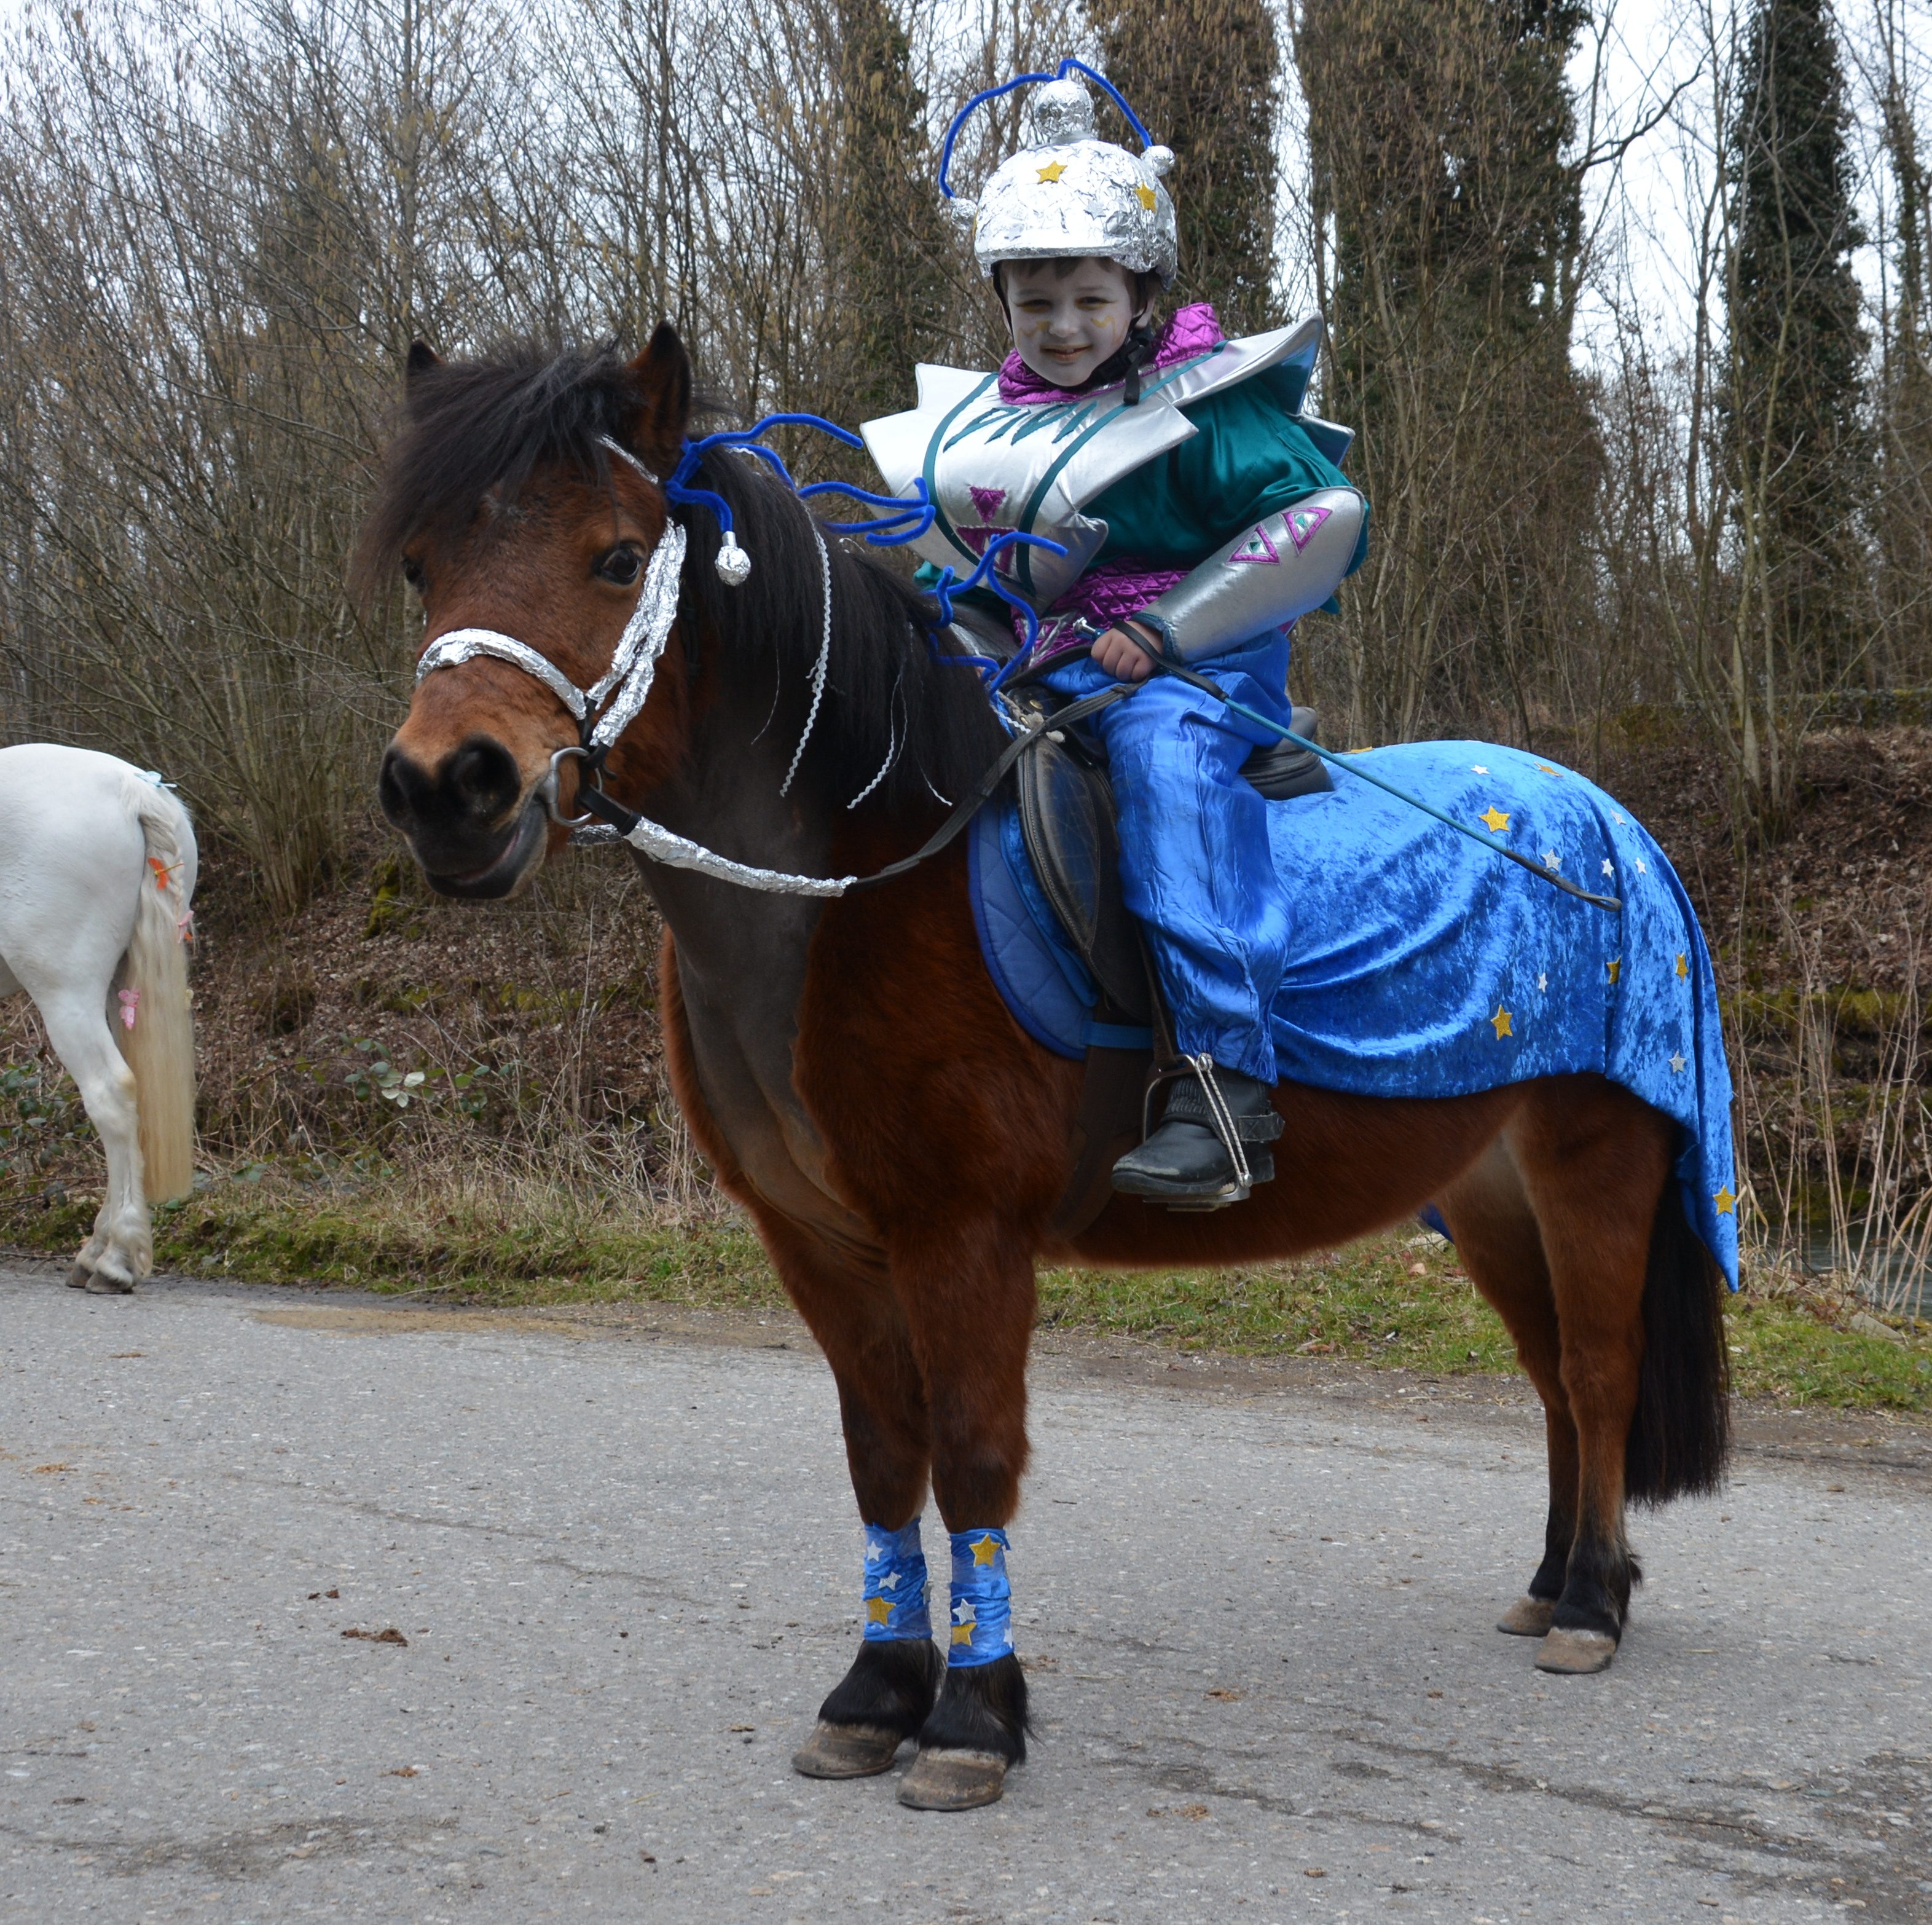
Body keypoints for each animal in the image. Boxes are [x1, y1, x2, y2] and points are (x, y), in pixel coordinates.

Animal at [0, 743, 198, 1292]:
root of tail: (133, 786)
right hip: (117, 990)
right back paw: (97, 1251)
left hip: (66, 994)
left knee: (111, 1093)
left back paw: (117, 1258)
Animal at [366, 329, 1732, 1813]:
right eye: (422, 565)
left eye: (618, 557)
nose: (448, 788)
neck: (861, 873)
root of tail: (1609, 823)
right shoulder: (818, 1240)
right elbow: (881, 1460)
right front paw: (875, 1691)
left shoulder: (961, 1233)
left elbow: (971, 1461)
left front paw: (973, 1716)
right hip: (1484, 1188)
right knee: (1547, 1378)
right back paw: (1554, 1582)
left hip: (1594, 1160)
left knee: (1596, 1371)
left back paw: (1592, 1601)